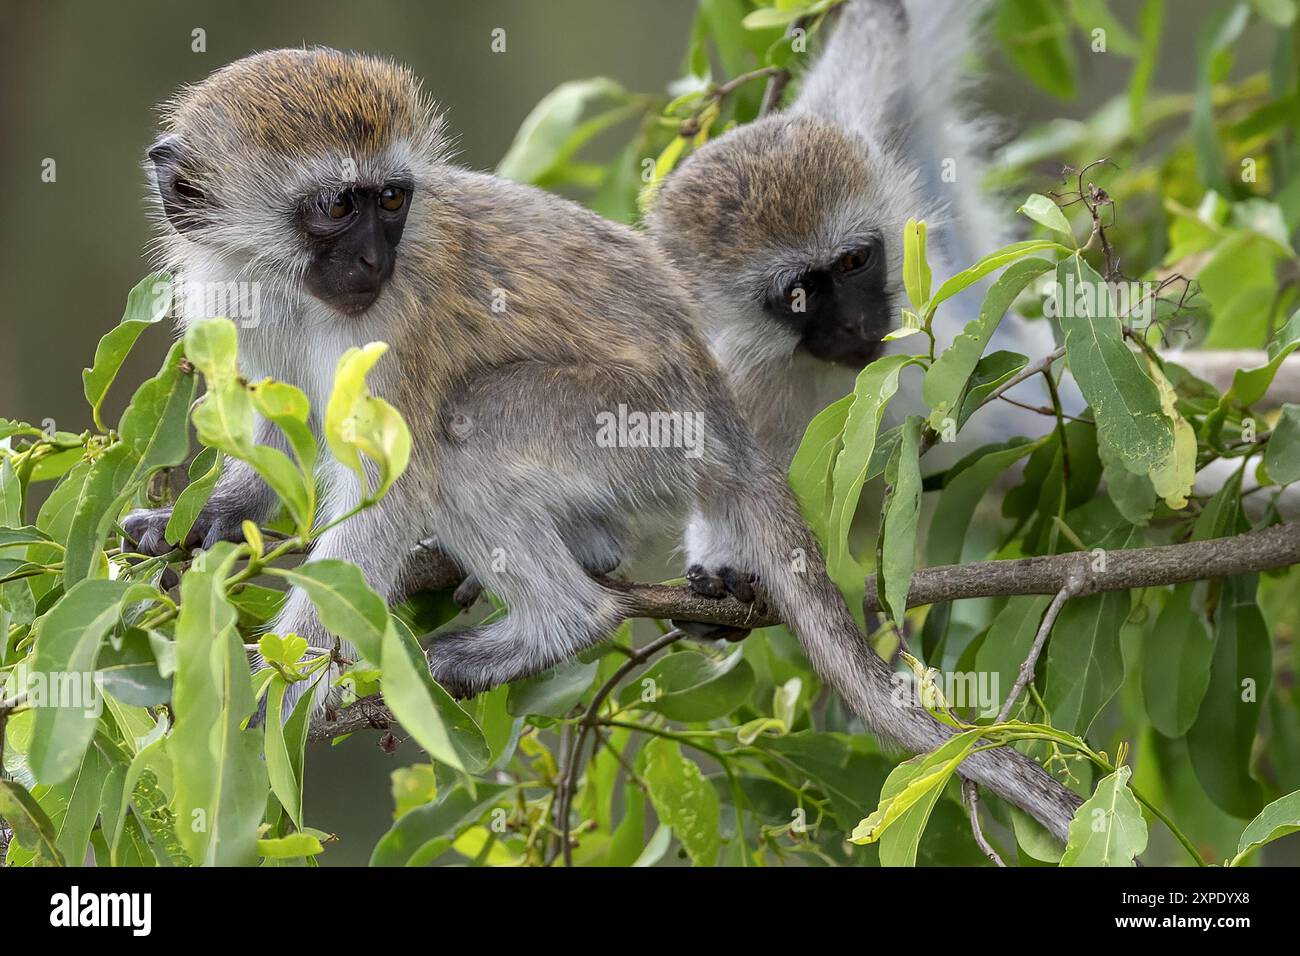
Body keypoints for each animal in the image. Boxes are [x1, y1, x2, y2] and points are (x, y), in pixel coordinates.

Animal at [120, 48, 1082, 840]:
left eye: (390, 201)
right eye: (333, 208)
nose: (369, 263)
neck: (289, 287)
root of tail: (723, 418)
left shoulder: (395, 326)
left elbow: (393, 483)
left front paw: (270, 686)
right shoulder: (230, 299)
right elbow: (269, 428)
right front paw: (203, 520)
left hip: (637, 429)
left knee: (465, 433)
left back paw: (557, 619)